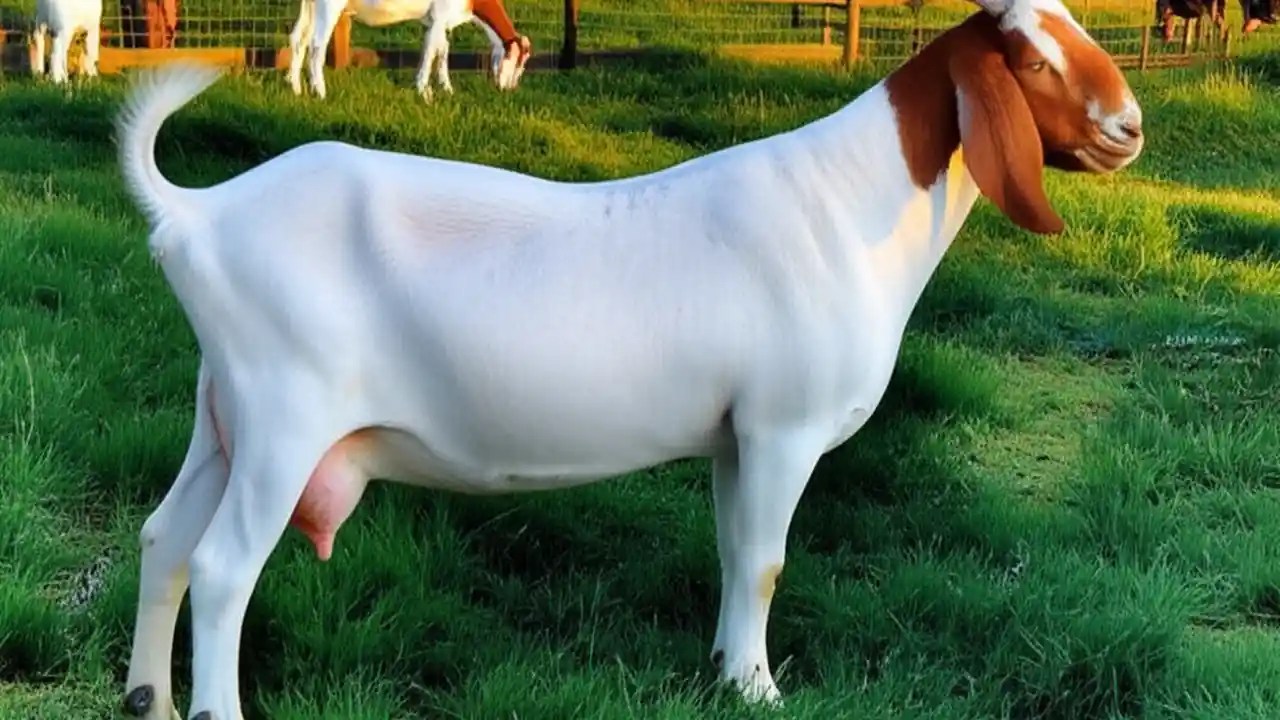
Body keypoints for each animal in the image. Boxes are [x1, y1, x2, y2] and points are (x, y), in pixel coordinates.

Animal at [286, 0, 531, 101]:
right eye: (519, 64)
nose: (510, 88)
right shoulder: (440, 17)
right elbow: (431, 53)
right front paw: (424, 91)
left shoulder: (437, 22)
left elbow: (442, 52)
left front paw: (446, 89)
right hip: (329, 6)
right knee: (316, 46)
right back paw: (320, 92)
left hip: (309, 6)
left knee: (298, 39)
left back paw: (296, 88)